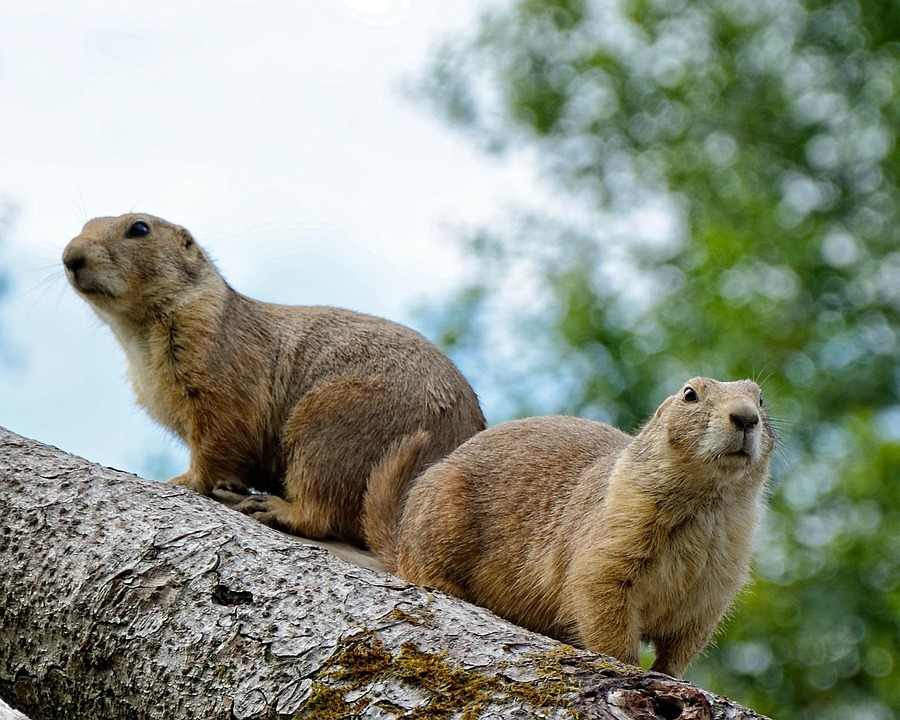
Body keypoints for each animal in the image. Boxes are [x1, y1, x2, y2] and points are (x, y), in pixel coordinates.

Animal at [63, 213, 485, 546]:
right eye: (84, 224)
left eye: (139, 228)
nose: (70, 256)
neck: (138, 337)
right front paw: (228, 482)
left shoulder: (217, 356)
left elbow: (220, 429)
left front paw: (182, 480)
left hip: (335, 423)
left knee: (323, 511)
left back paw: (275, 508)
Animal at [362, 377, 774, 676]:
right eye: (690, 394)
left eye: (760, 398)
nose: (745, 417)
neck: (706, 505)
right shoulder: (613, 532)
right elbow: (599, 594)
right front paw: (626, 664)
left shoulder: (718, 578)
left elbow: (690, 635)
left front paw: (669, 674)